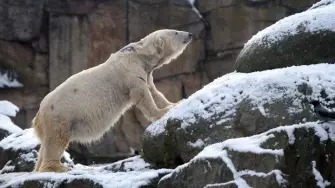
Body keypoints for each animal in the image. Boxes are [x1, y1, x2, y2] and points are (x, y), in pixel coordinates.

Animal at [32, 29, 193, 172]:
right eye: (175, 32)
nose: (190, 34)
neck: (138, 54)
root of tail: (38, 114)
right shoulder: (130, 72)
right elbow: (142, 95)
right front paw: (163, 111)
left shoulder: (146, 73)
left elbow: (155, 92)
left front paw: (175, 103)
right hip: (60, 115)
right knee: (56, 140)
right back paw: (59, 167)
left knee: (45, 144)